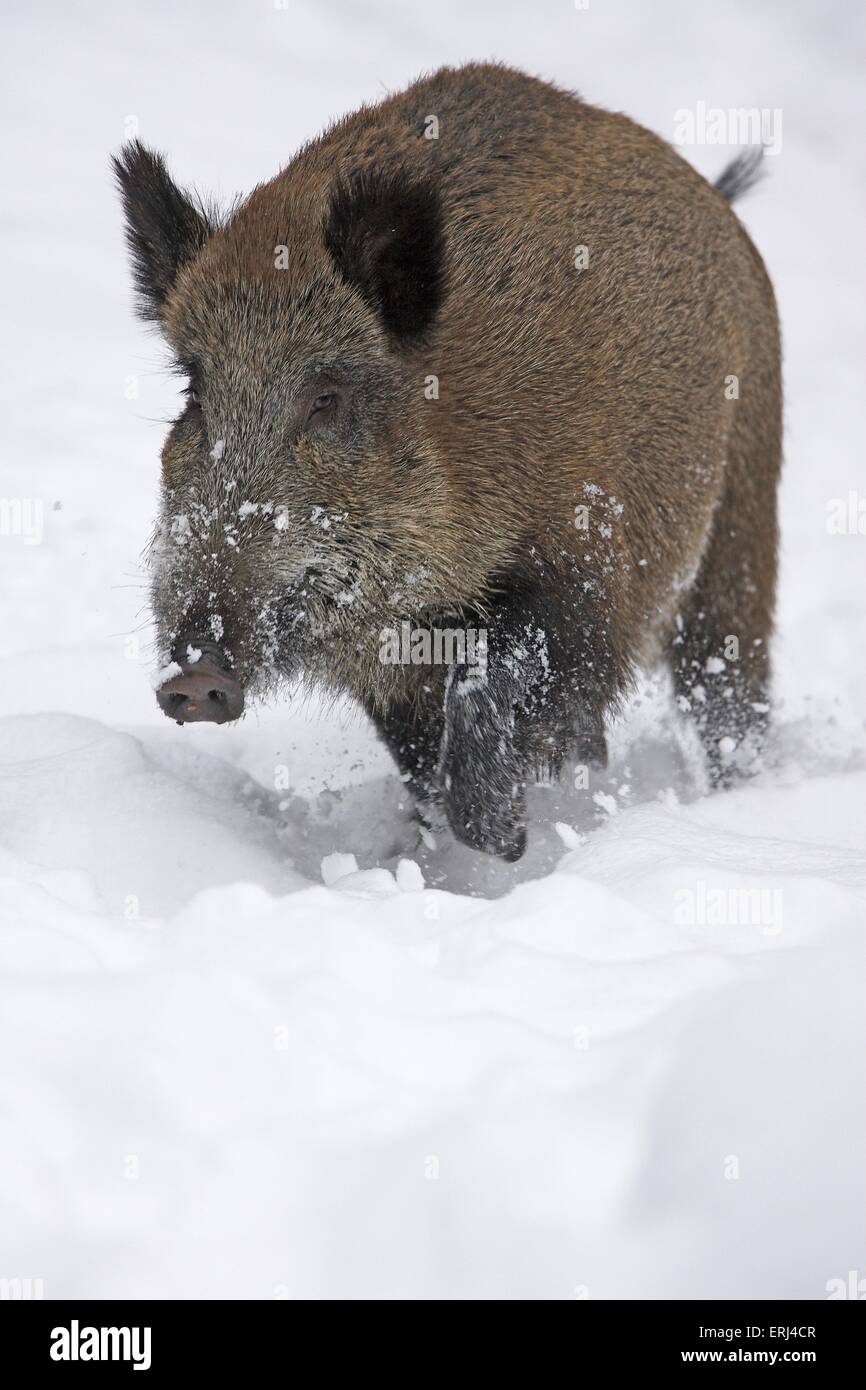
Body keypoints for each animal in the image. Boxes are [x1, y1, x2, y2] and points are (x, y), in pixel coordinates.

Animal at [114, 61, 781, 861]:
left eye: (326, 397)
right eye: (194, 392)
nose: (192, 677)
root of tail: (714, 197)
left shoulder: (587, 561)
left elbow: (505, 687)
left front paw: (508, 838)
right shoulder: (387, 667)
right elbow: (420, 763)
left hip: (743, 517)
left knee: (730, 692)